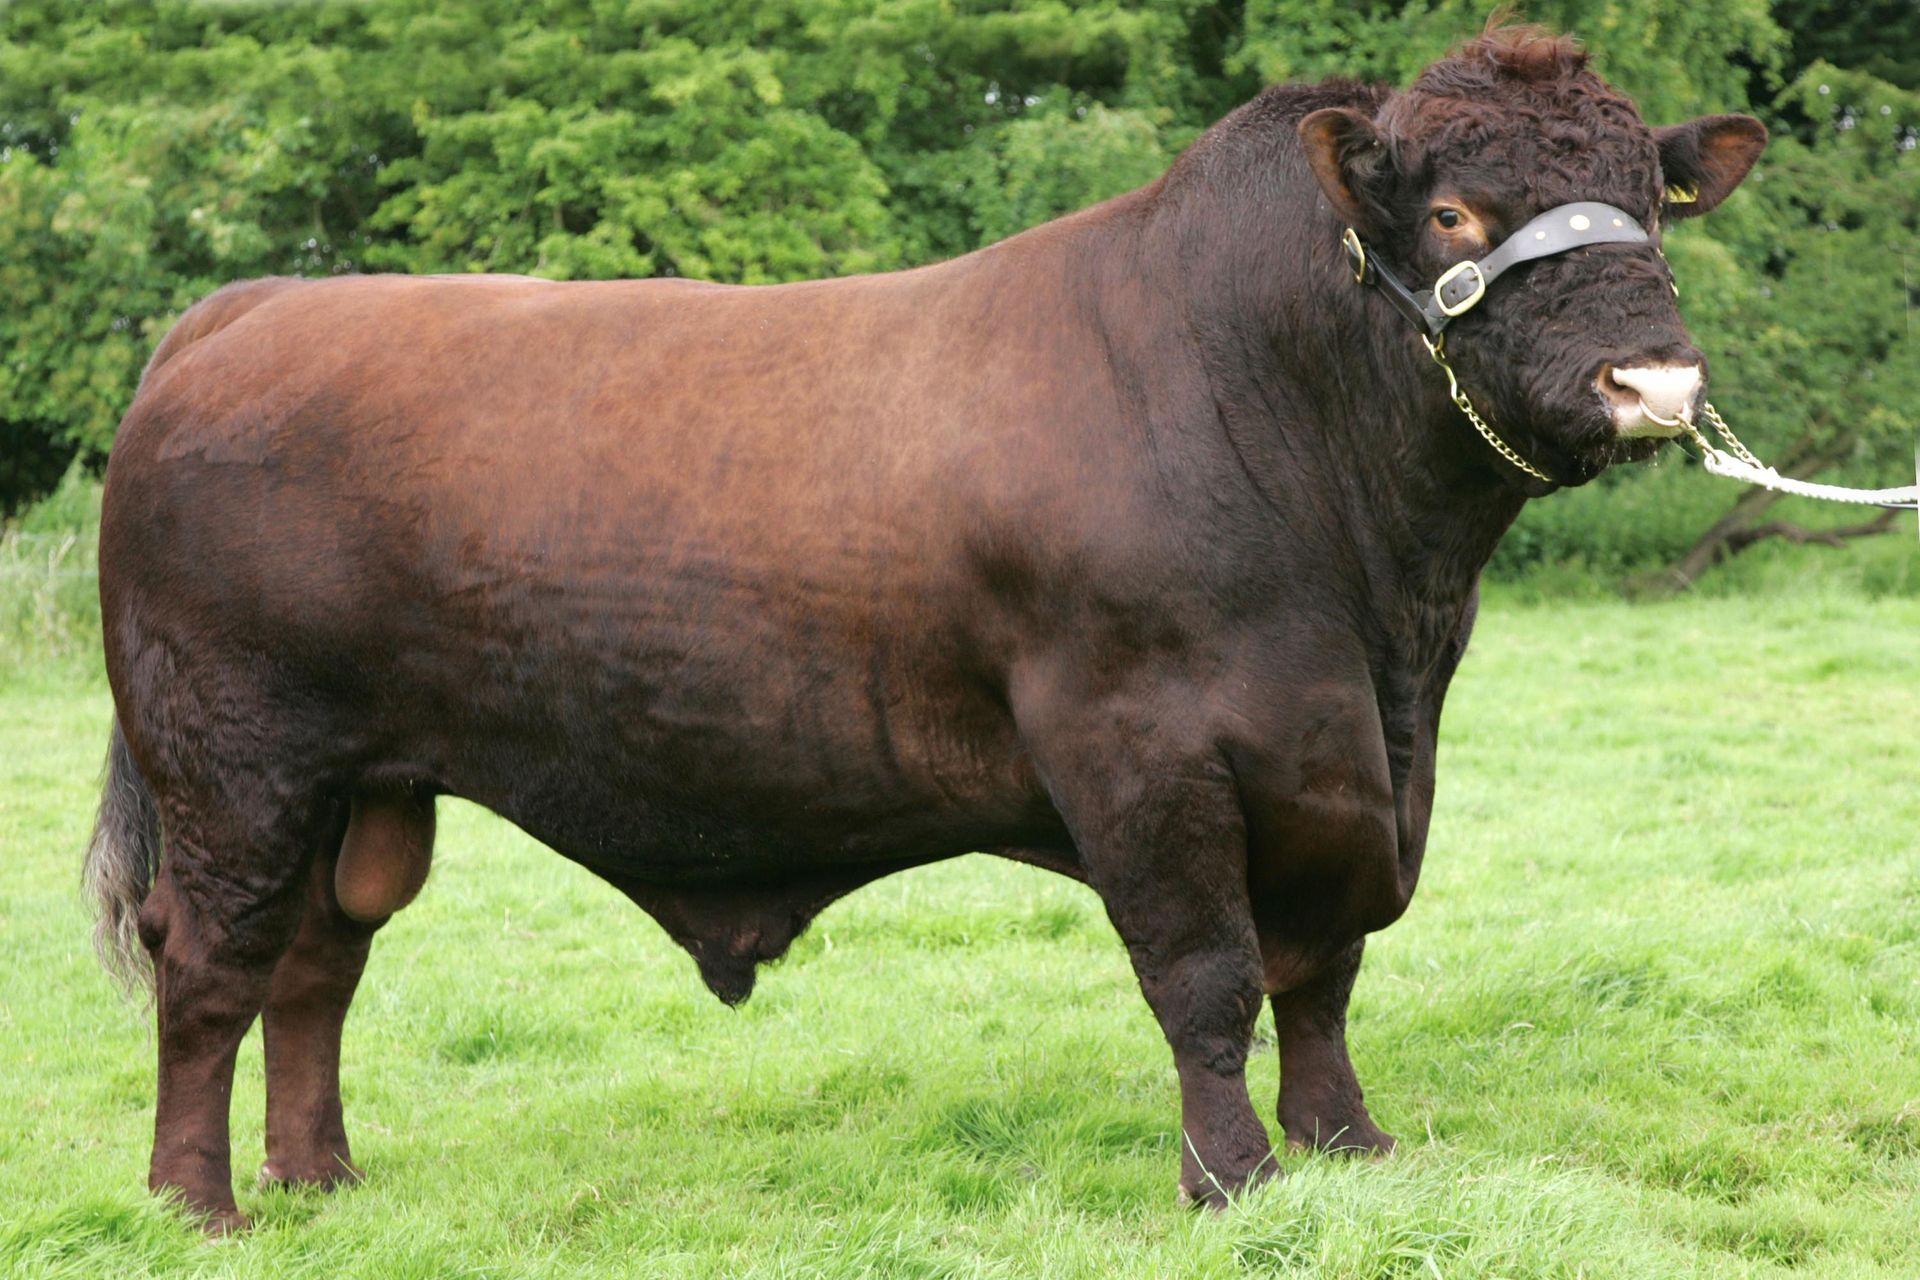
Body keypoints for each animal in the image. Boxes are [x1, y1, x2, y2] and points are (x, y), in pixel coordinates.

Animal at [85, 24, 1765, 1230]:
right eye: (1457, 211)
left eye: (1652, 200)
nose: (1654, 382)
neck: (1382, 606)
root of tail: (249, 310)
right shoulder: (1143, 748)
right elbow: (1210, 974)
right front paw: (1234, 1181)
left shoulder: (1349, 765)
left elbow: (1326, 968)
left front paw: (1350, 1146)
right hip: (230, 762)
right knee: (211, 962)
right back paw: (197, 1206)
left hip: (362, 786)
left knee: (317, 963)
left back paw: (319, 1177)